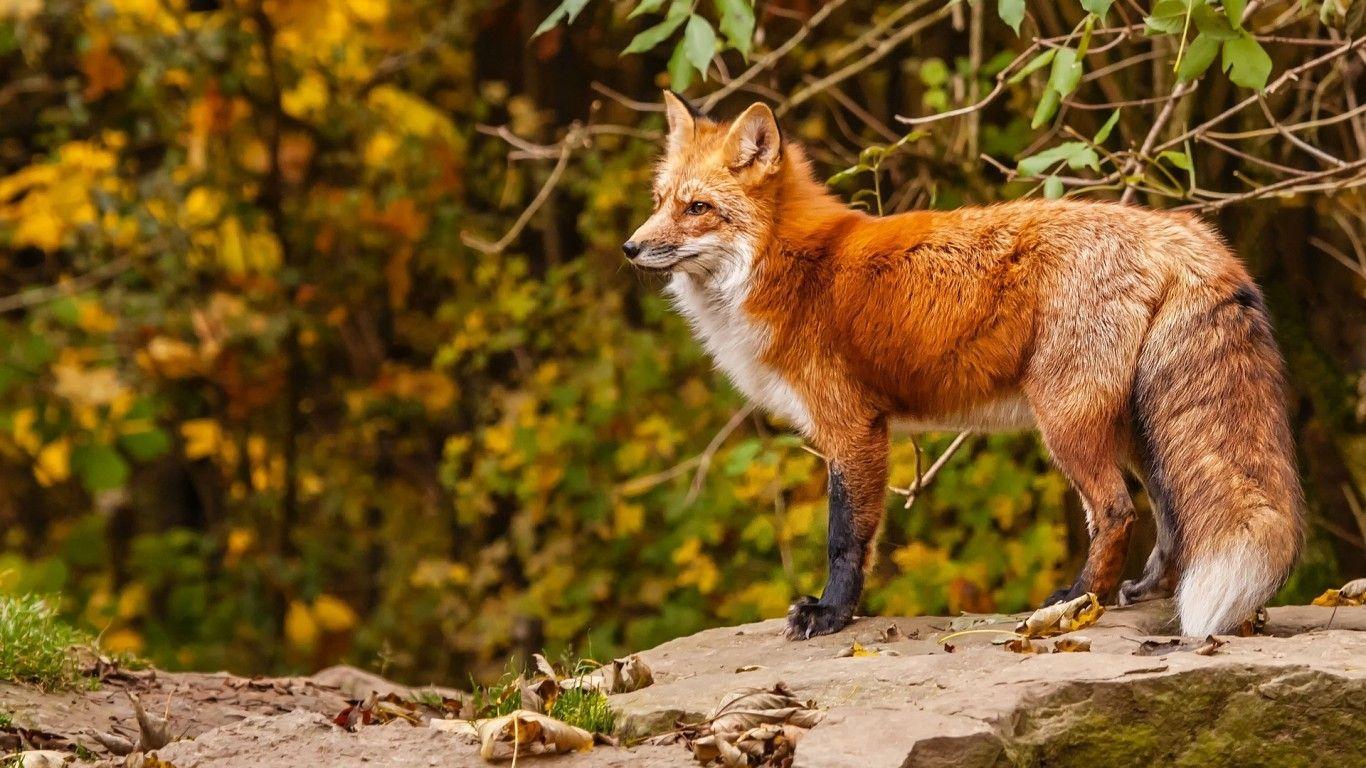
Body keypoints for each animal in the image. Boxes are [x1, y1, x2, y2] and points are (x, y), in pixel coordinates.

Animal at [624, 91, 1304, 640]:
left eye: (697, 208)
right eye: (658, 201)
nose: (631, 247)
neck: (787, 267)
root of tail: (1181, 230)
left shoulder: (853, 428)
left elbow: (846, 538)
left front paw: (831, 614)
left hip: (1067, 420)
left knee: (1117, 512)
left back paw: (1078, 601)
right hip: (1139, 426)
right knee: (1169, 517)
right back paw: (1139, 592)